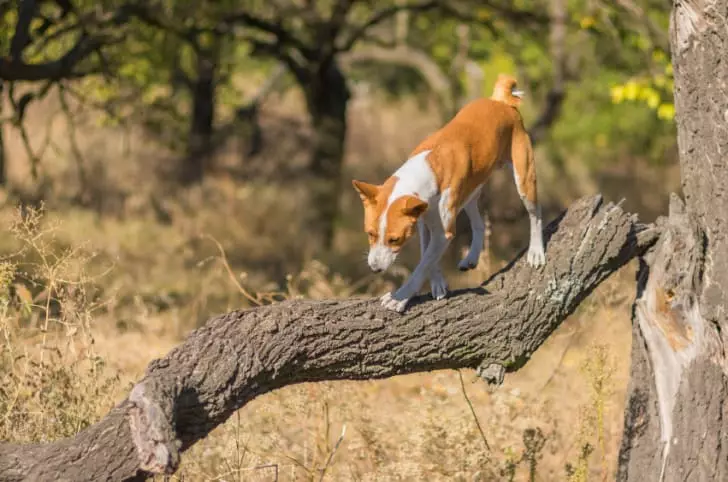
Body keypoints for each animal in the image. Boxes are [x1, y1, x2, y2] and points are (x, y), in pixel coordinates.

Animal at [352, 72, 544, 312]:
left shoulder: (443, 231)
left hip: (524, 178)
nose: (375, 268)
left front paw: (400, 297)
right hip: (470, 191)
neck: (431, 167)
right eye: (370, 233)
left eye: (394, 240)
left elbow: (422, 266)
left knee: (535, 214)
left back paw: (536, 252)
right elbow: (428, 257)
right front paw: (438, 284)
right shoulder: (423, 221)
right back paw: (471, 257)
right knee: (479, 224)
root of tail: (500, 102)